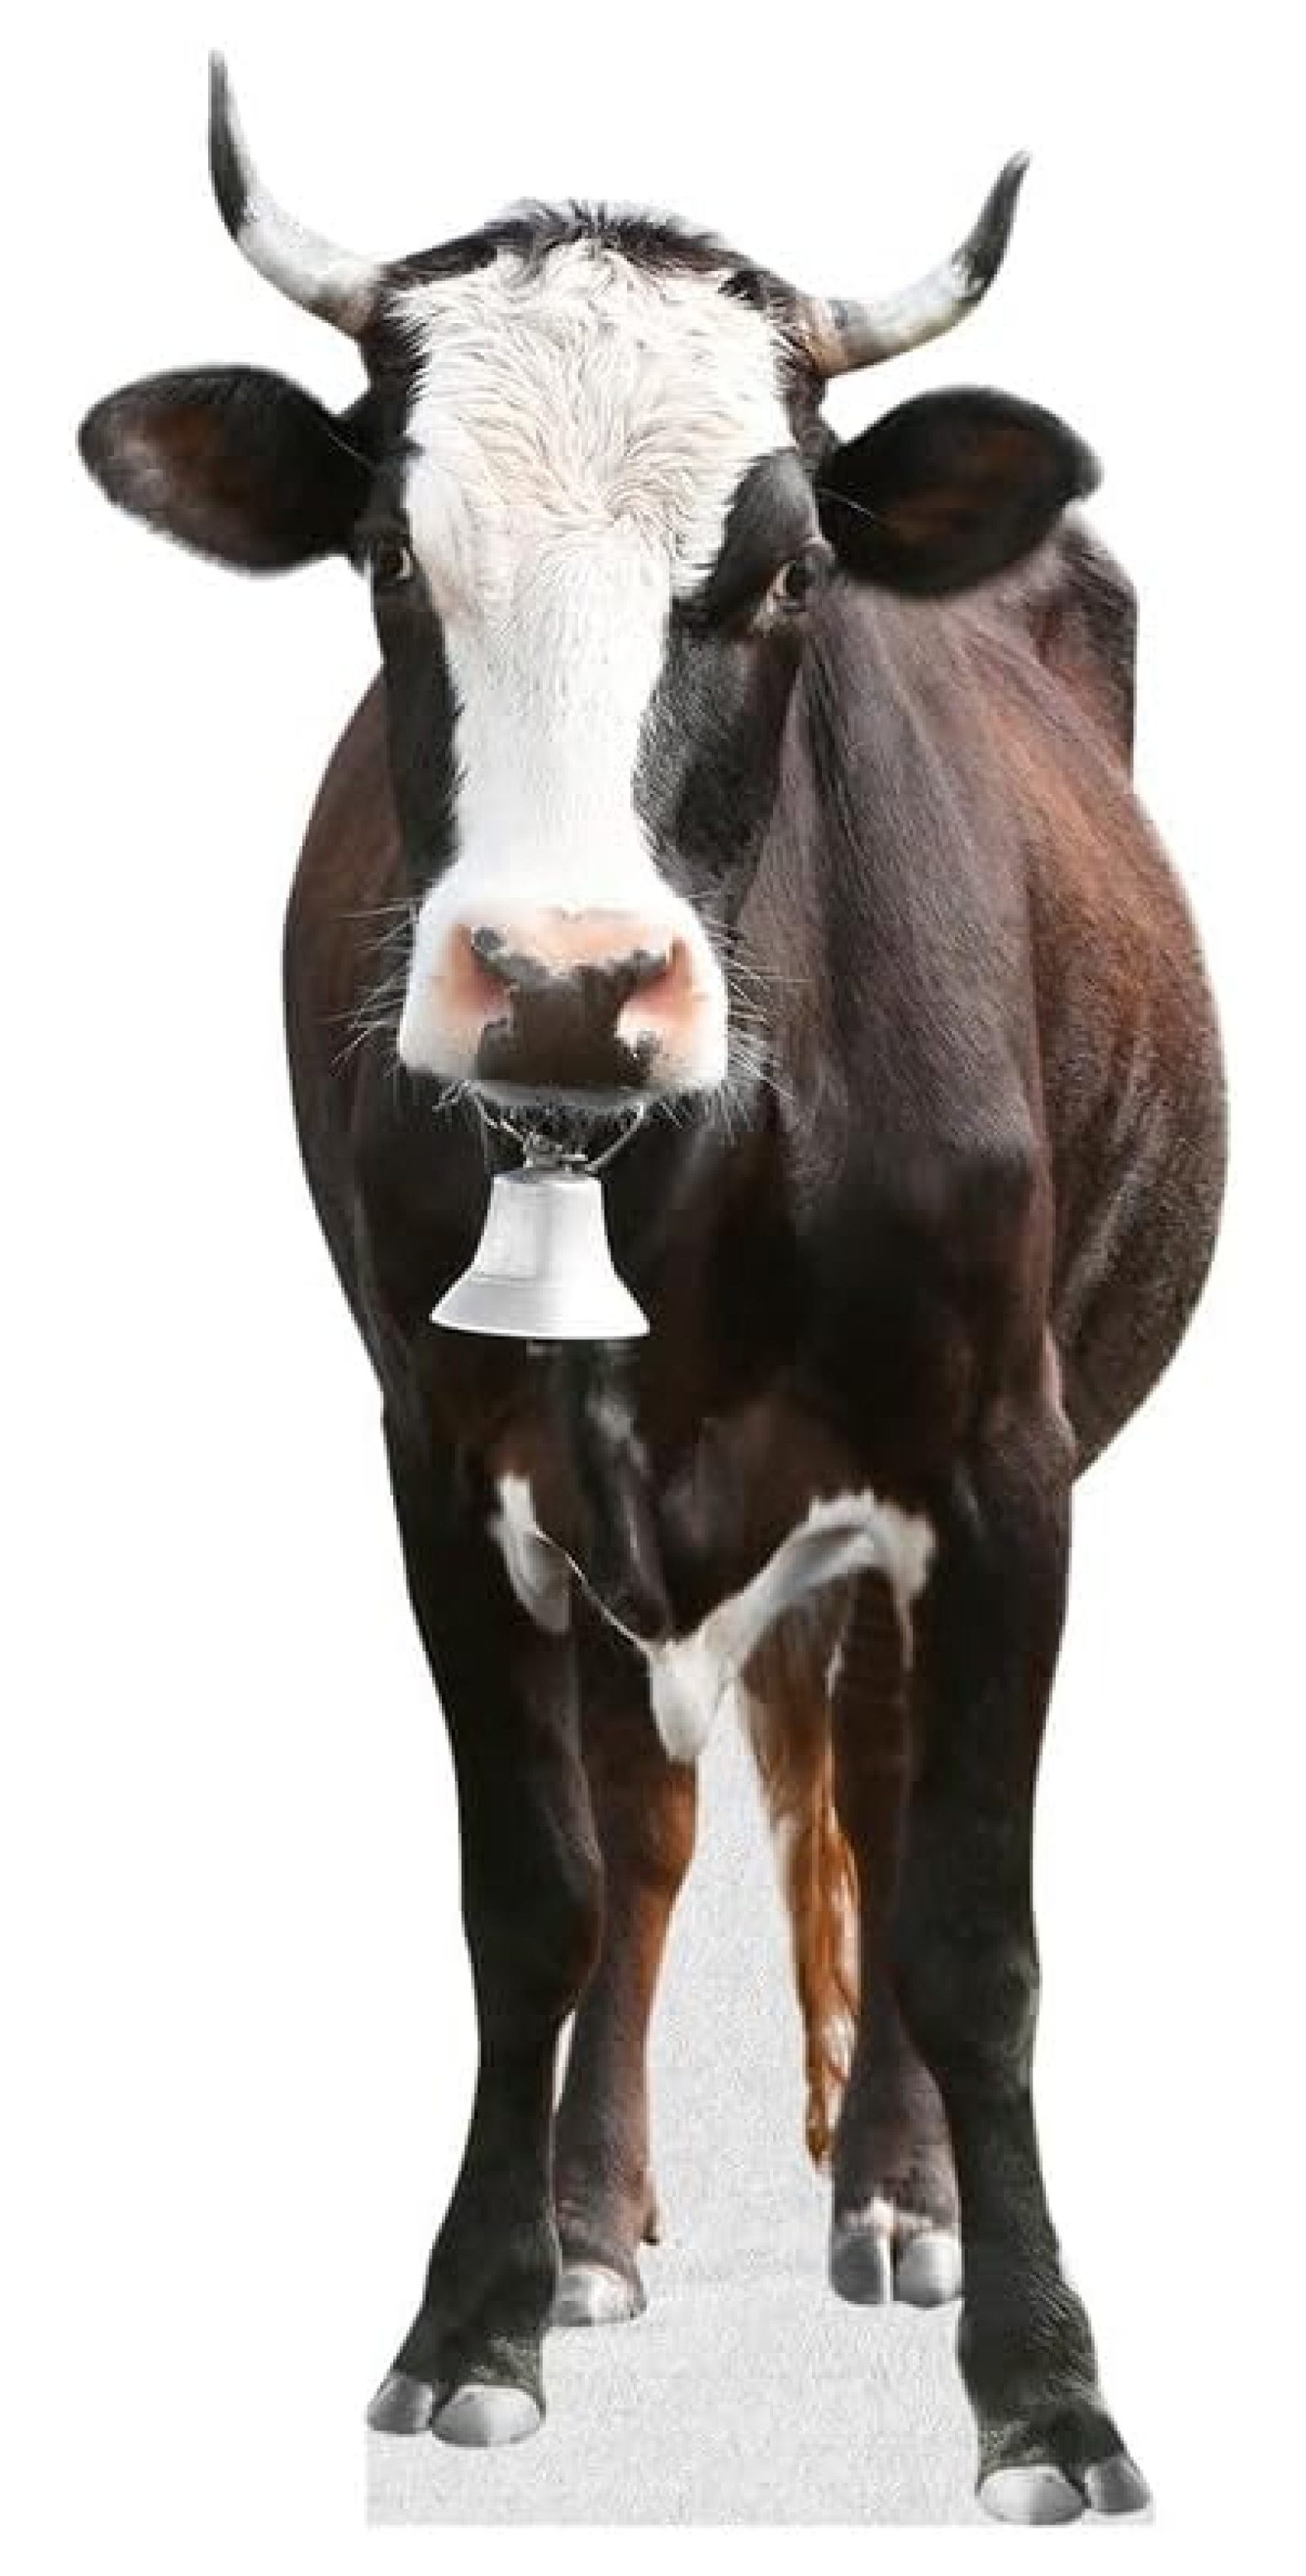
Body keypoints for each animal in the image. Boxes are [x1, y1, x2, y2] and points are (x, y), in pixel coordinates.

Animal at [78, 57, 1225, 2523]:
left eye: (777, 570)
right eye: (389, 558)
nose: (564, 983)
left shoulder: (1001, 1469)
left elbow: (967, 1918)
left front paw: (1043, 2382)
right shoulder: (444, 1461)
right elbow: (538, 1890)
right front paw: (477, 2310)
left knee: (866, 1800)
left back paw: (893, 2193)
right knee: (654, 1820)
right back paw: (598, 2220)